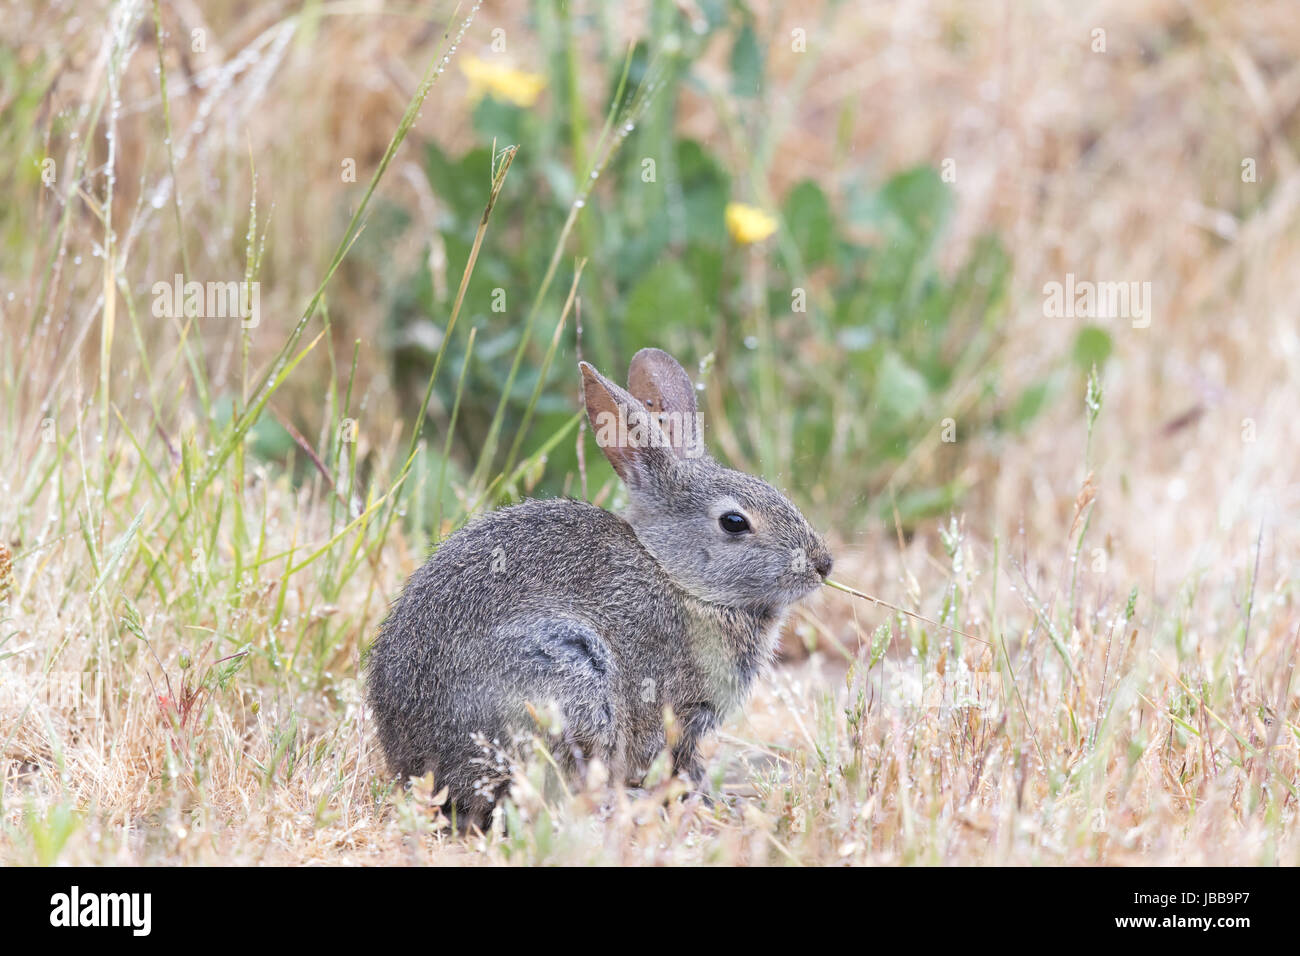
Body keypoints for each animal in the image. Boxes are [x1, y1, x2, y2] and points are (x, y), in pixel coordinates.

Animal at [366, 347, 832, 827]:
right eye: (734, 522)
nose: (822, 564)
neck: (677, 578)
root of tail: (417, 766)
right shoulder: (672, 713)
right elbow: (680, 762)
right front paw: (706, 803)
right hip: (567, 674)